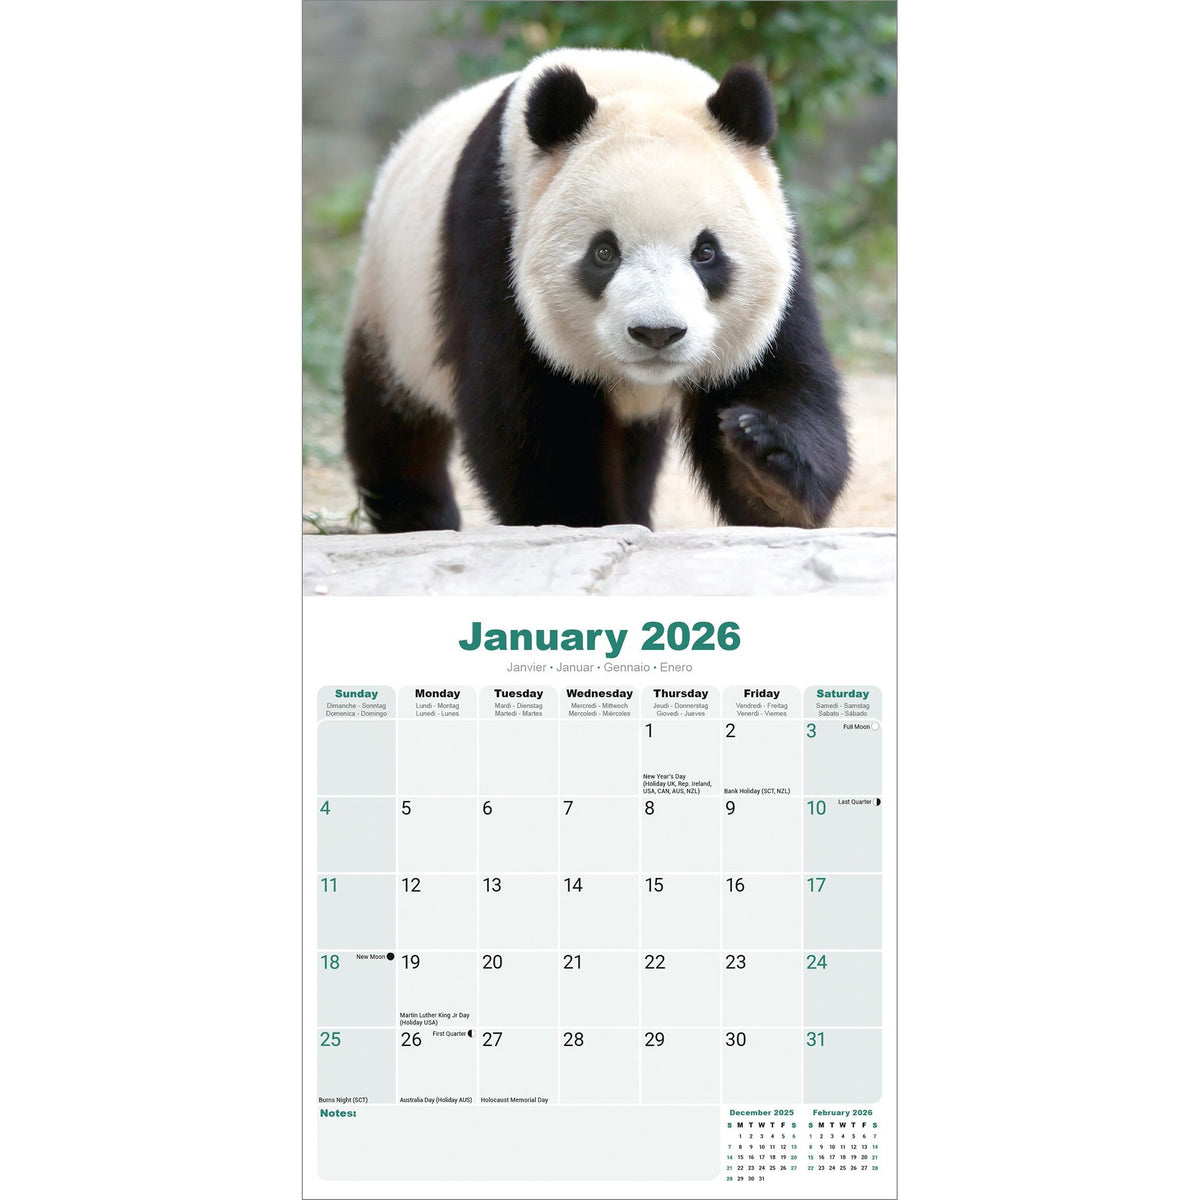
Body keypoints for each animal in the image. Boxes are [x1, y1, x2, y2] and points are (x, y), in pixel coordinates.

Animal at [343, 48, 850, 532]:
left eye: (706, 252)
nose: (658, 333)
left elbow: (781, 378)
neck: (629, 79)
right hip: (392, 296)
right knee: (392, 414)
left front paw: (765, 465)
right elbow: (530, 414)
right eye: (604, 252)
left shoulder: (779, 245)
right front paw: (577, 517)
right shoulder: (498, 235)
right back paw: (417, 513)